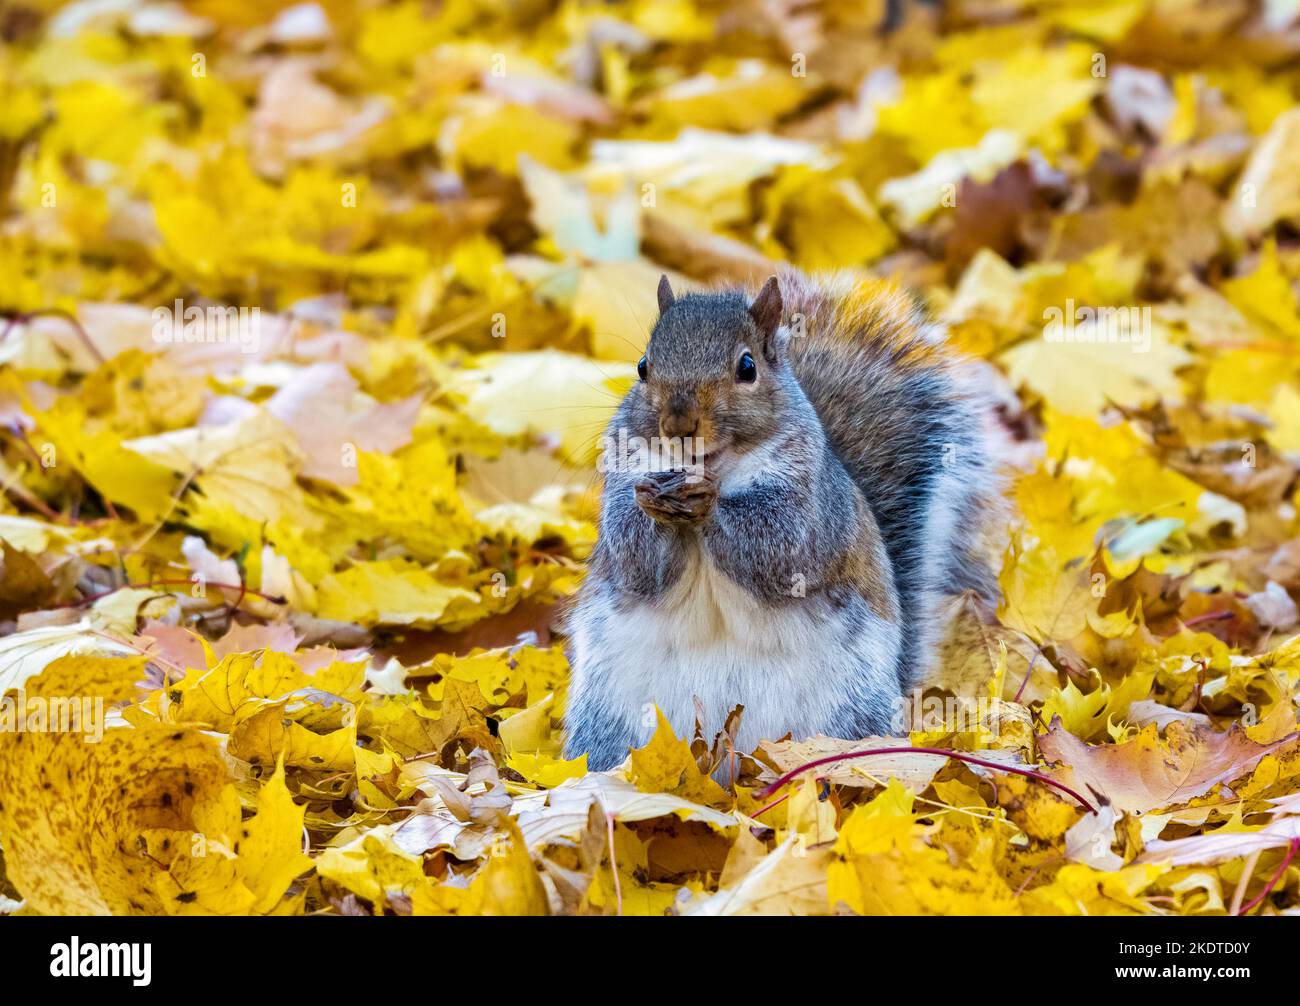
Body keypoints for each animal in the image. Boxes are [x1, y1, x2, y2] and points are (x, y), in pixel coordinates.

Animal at [563, 268, 1006, 772]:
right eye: (642, 366)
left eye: (747, 367)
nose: (677, 424)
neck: (716, 469)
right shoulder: (625, 483)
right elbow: (635, 560)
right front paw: (658, 506)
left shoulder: (810, 505)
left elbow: (779, 550)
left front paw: (708, 503)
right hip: (614, 719)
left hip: (848, 712)